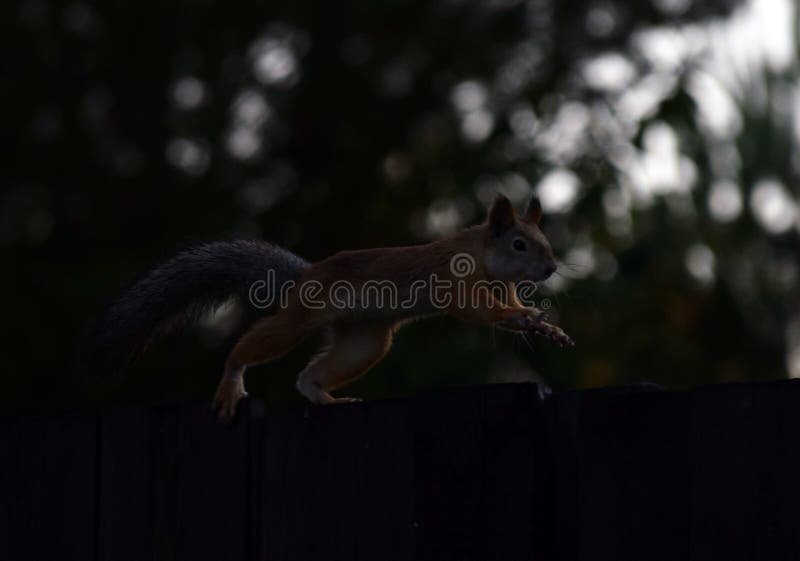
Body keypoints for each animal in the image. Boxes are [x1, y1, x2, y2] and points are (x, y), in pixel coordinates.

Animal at [85, 194, 573, 419]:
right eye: (519, 243)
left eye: (545, 240)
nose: (551, 268)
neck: (482, 253)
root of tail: (304, 276)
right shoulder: (451, 278)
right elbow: (474, 309)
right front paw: (517, 316)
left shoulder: (502, 284)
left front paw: (541, 325)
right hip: (300, 319)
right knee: (249, 349)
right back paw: (232, 382)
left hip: (365, 341)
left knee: (309, 376)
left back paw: (325, 397)